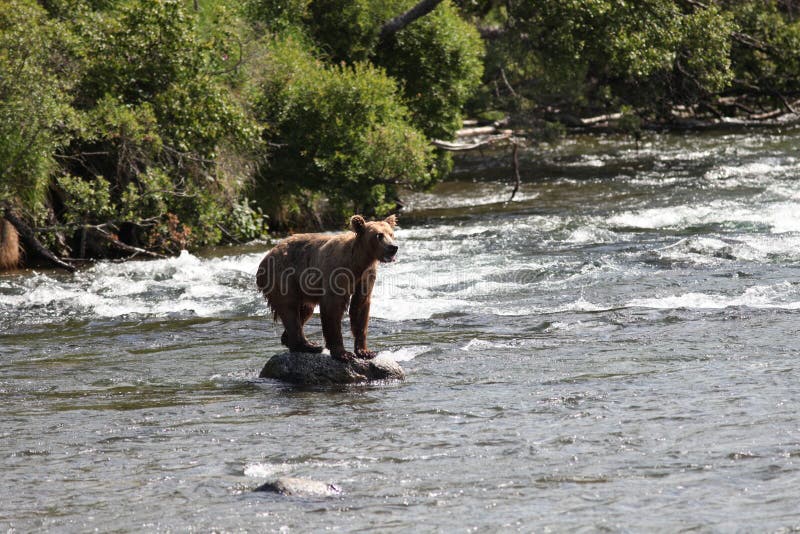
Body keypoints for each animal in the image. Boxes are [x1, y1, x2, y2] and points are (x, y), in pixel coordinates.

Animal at [256, 214, 398, 361]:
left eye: (391, 234)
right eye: (379, 235)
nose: (393, 247)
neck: (358, 262)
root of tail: (266, 256)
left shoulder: (366, 275)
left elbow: (360, 306)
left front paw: (365, 351)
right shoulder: (336, 272)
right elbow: (333, 308)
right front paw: (343, 353)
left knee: (305, 310)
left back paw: (302, 343)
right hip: (283, 276)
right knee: (290, 309)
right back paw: (308, 345)